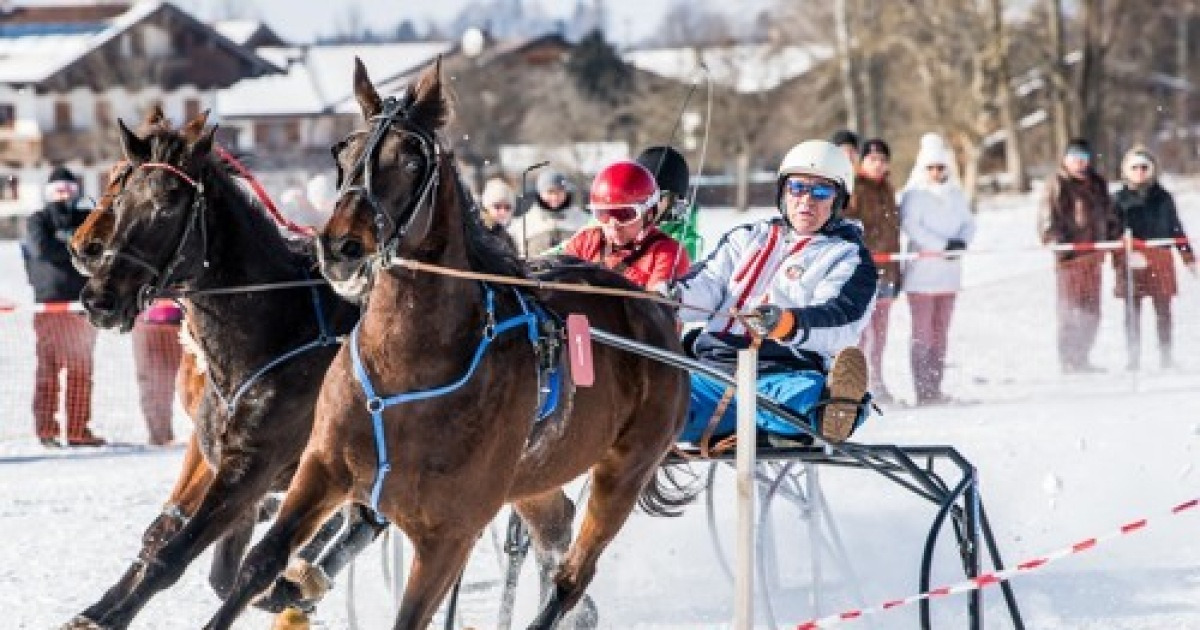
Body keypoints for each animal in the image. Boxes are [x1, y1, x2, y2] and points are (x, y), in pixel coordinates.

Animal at [63, 110, 379, 629]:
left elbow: (175, 557)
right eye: (122, 192)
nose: (98, 297)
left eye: (167, 205)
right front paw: (100, 612)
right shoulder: (214, 451)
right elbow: (181, 545)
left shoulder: (253, 465)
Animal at [200, 58, 692, 630]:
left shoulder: (450, 533)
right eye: (344, 152)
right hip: (537, 476)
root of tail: (657, 316)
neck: (405, 372)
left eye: (412, 160)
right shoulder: (323, 469)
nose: (341, 246)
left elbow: (412, 613)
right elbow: (259, 565)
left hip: (626, 470)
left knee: (572, 577)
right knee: (556, 529)